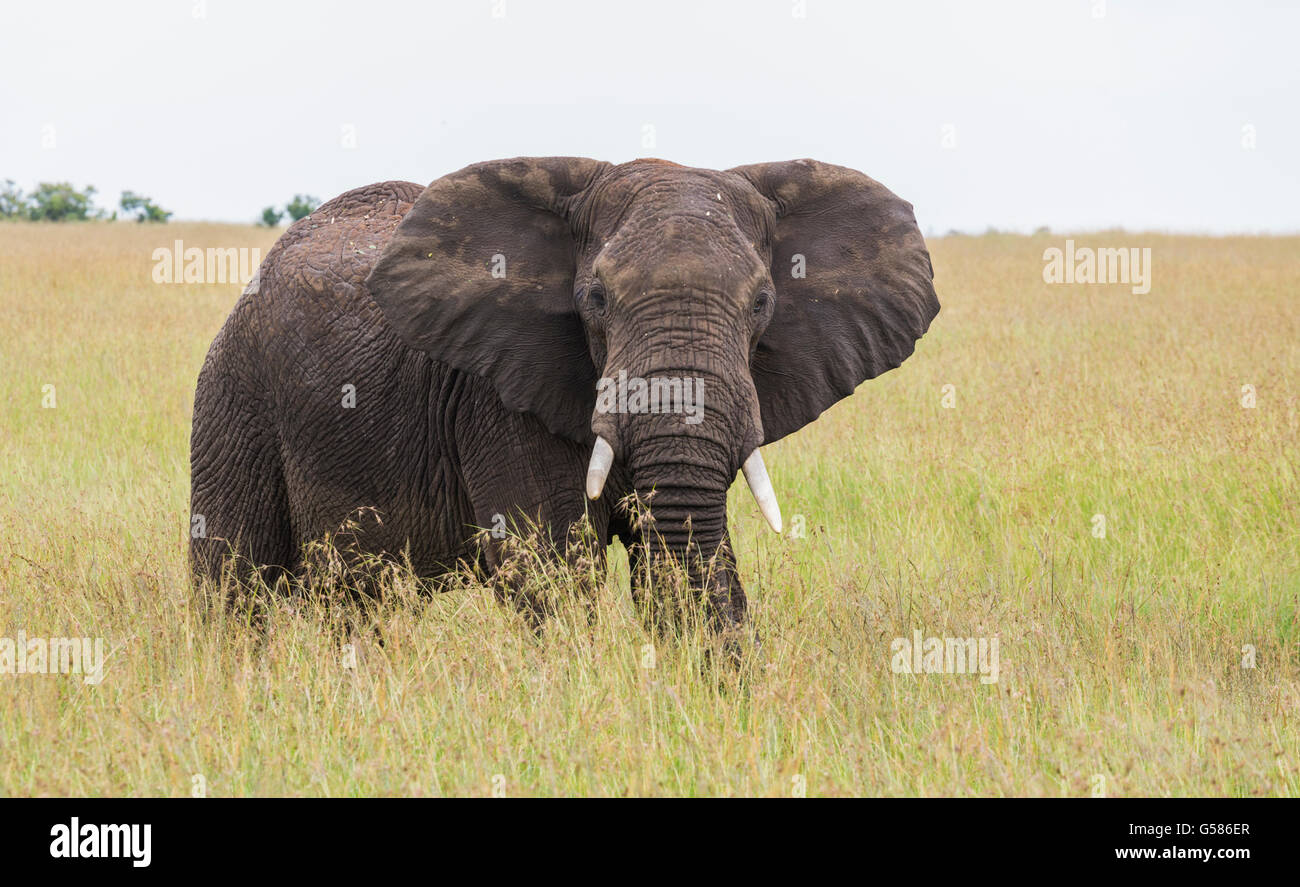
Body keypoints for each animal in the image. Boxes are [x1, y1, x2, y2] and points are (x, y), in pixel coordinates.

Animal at [189, 157, 939, 634]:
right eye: (595, 300)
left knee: (356, 602)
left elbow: (677, 563)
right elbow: (549, 567)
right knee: (233, 584)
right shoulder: (497, 397)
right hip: (232, 394)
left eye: (762, 303)